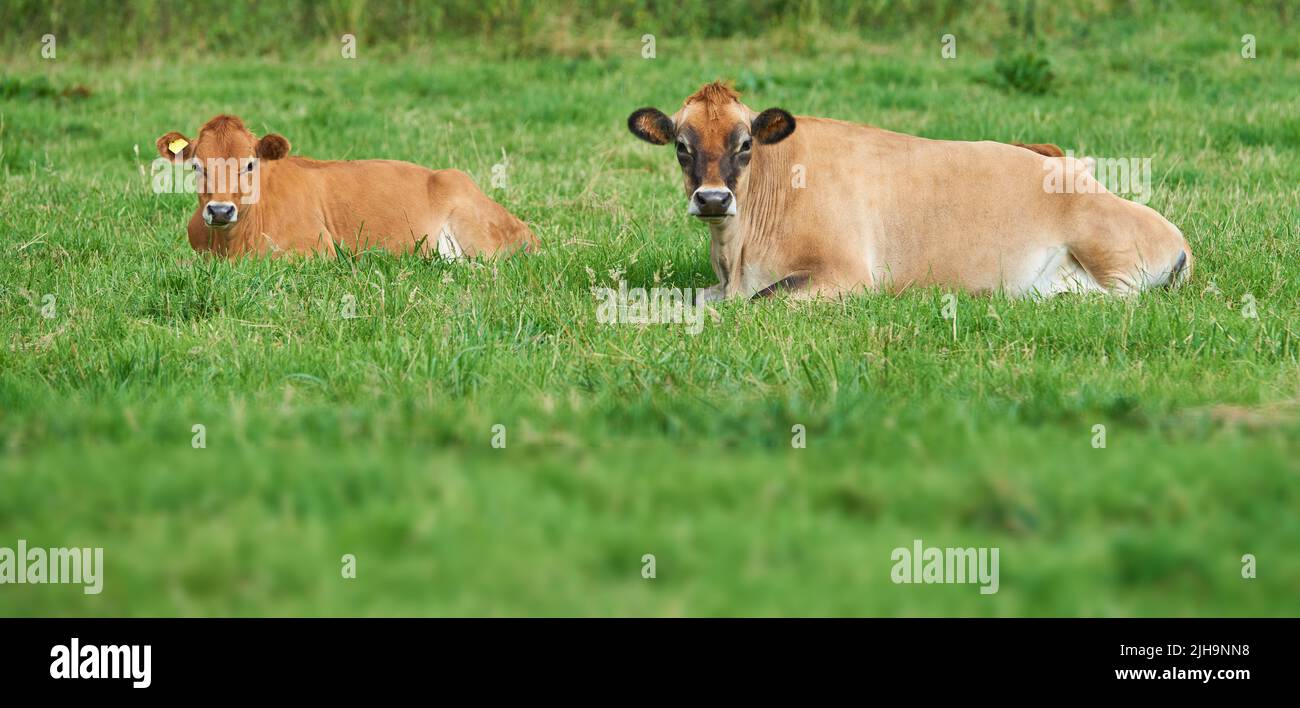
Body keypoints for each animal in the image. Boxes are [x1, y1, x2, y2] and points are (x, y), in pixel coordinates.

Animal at [626, 82, 1191, 301]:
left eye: (745, 144)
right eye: (681, 146)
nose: (713, 199)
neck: (737, 256)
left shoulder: (846, 277)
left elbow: (754, 303)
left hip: (1108, 252)